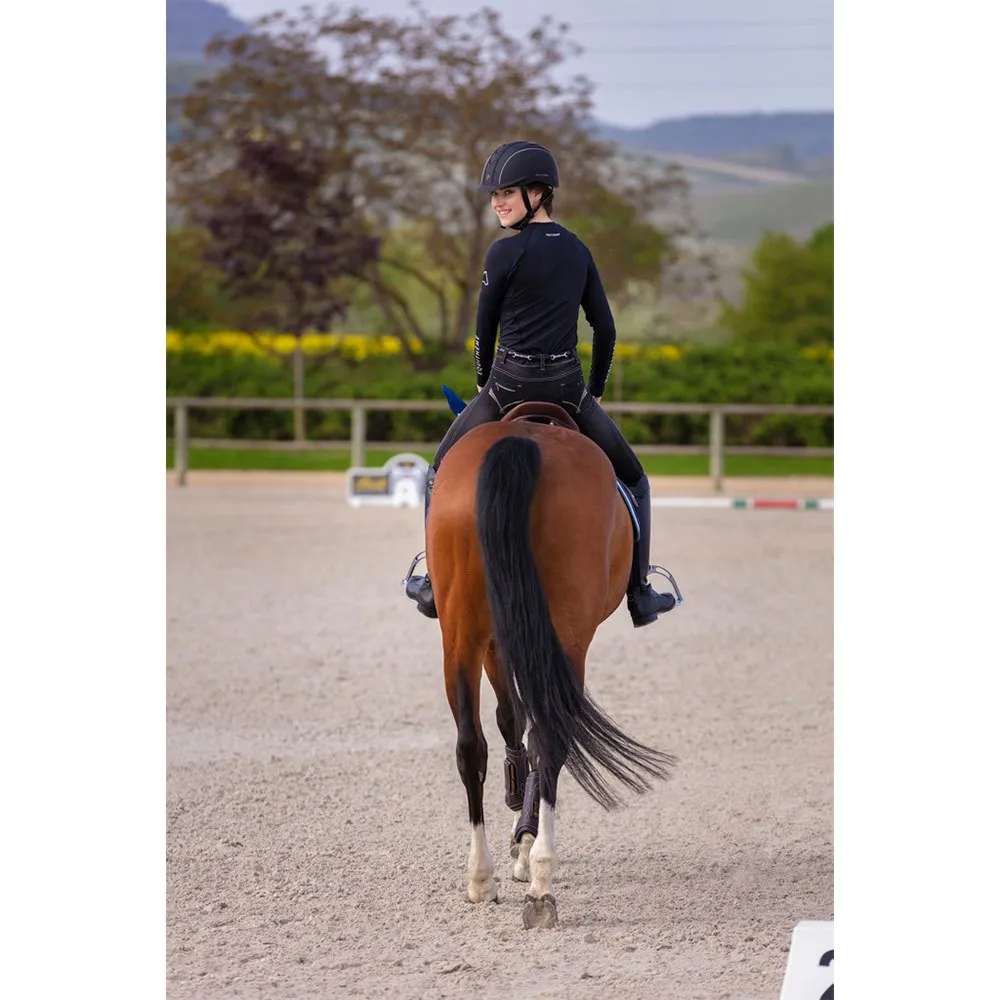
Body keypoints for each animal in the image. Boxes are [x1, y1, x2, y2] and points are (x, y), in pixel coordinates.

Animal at [425, 401, 679, 929]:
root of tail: (521, 440)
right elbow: (522, 724)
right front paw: (524, 843)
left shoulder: (498, 637)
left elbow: (508, 720)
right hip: (567, 636)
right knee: (550, 737)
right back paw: (540, 879)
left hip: (460, 632)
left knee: (470, 744)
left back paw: (481, 878)